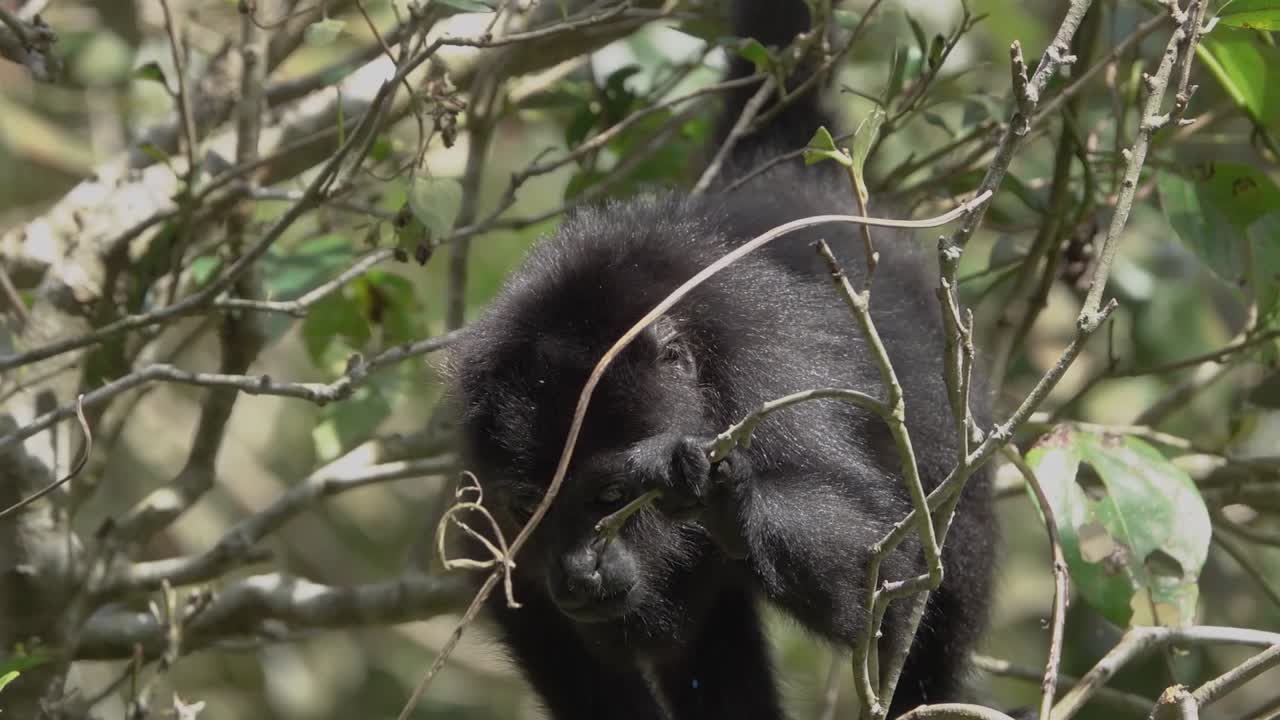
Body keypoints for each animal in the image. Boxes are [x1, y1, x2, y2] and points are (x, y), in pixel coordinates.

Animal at [443, 1, 998, 718]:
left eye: (612, 496)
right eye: (527, 505)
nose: (577, 573)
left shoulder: (762, 385)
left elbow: (892, 577)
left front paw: (713, 486)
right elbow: (524, 606)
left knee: (953, 561)